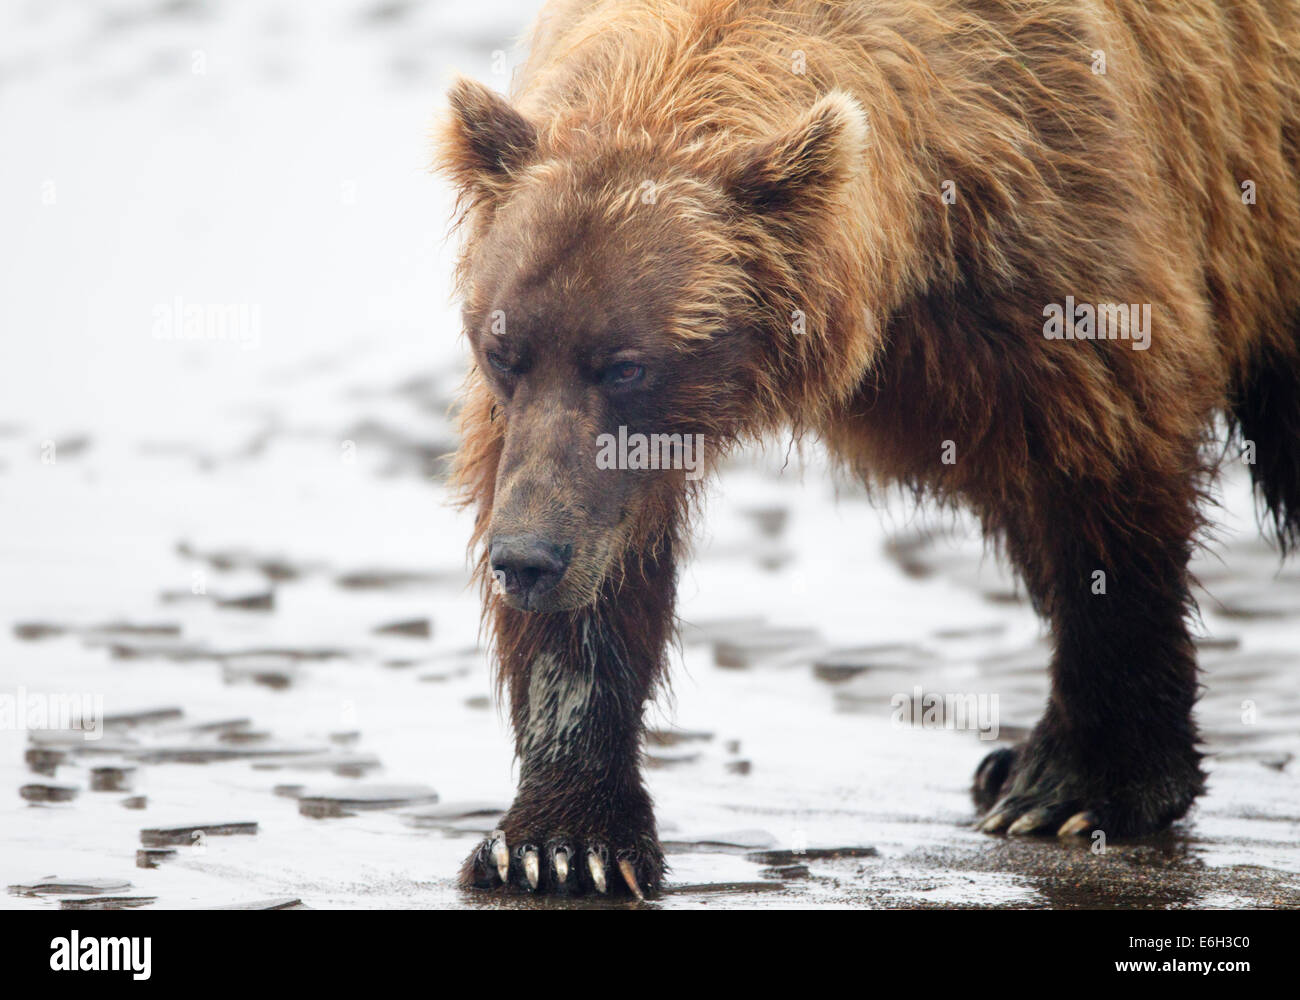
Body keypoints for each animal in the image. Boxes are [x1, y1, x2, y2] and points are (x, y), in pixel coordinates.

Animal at [436, 0, 1300, 897]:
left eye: (627, 364)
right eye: (503, 350)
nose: (525, 559)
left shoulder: (1066, 221)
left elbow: (1103, 472)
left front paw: (1078, 787)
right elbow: (602, 559)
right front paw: (561, 843)